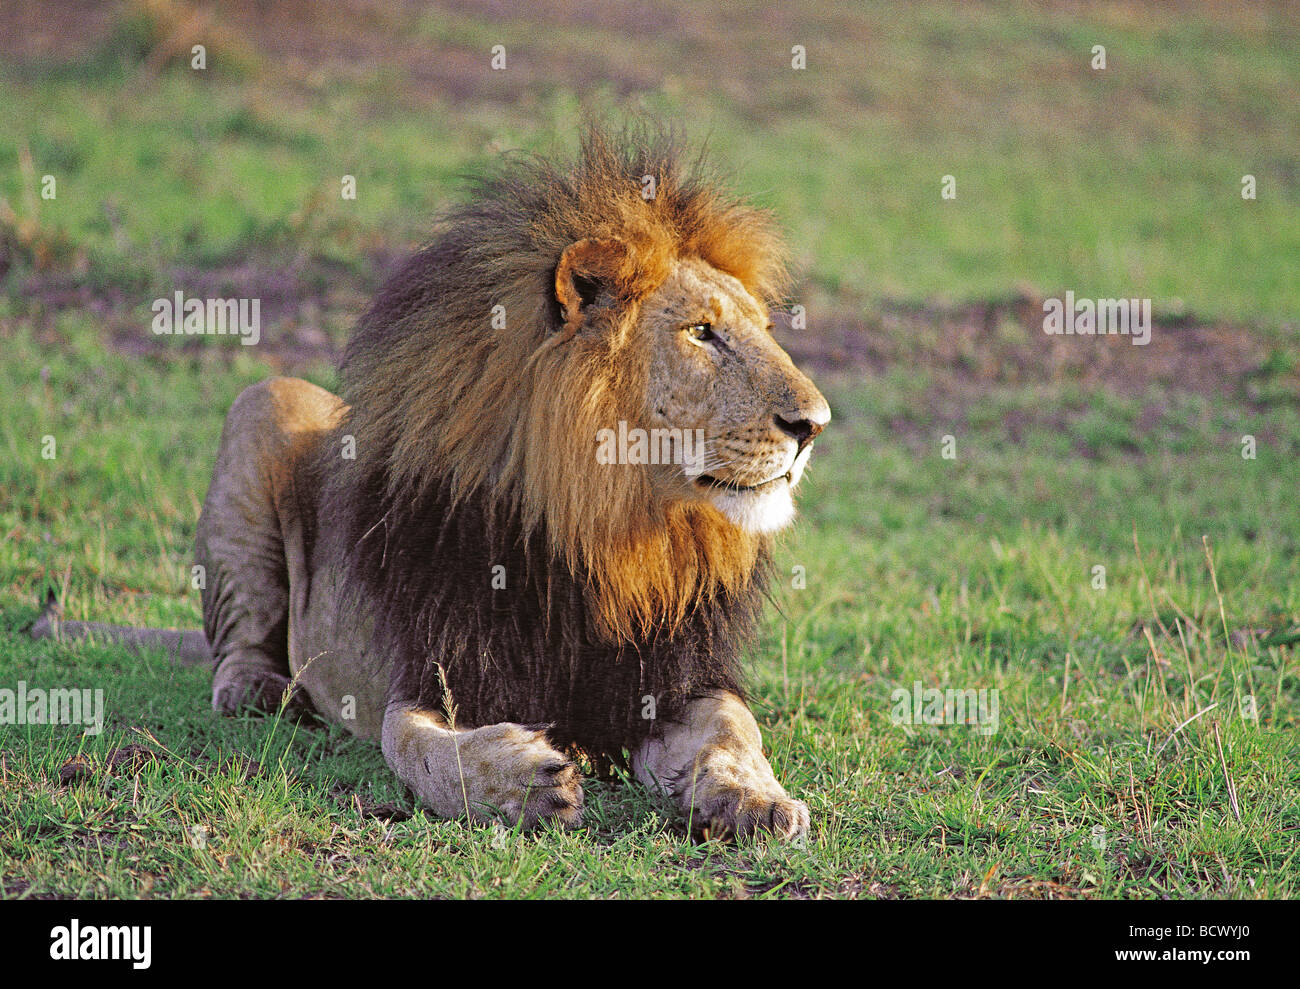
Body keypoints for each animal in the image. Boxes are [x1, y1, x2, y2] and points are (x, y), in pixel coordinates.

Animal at [32, 125, 830, 838]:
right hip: (260, 405)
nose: (815, 424)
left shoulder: (675, 679)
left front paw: (755, 800)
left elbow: (733, 732)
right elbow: (417, 748)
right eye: (701, 332)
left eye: (762, 330)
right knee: (243, 638)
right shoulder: (433, 669)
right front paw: (526, 782)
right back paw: (258, 691)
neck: (608, 530)